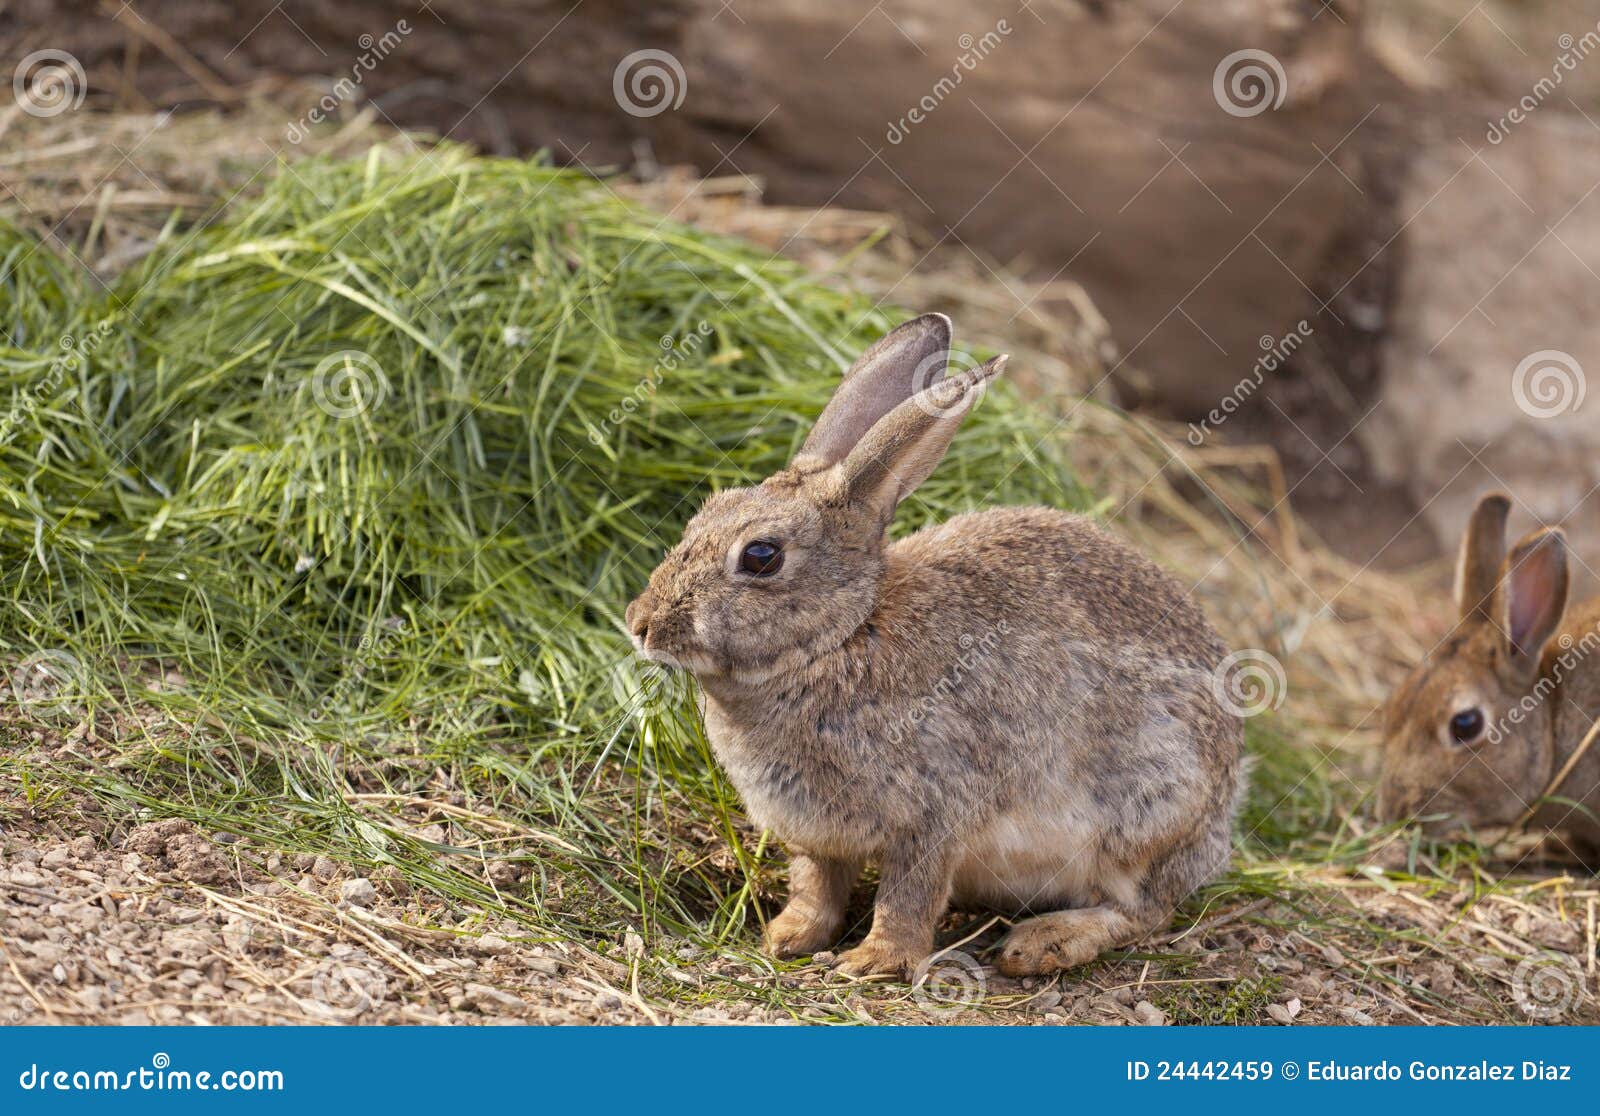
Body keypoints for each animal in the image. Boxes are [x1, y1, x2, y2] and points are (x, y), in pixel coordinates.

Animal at [625, 314, 1244, 979]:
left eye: (761, 556)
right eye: (703, 515)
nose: (640, 623)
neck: (843, 637)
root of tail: (1226, 798)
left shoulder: (934, 813)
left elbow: (908, 896)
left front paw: (873, 961)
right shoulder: (819, 837)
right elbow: (817, 886)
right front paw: (787, 937)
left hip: (1147, 815)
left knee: (1142, 911)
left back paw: (1040, 944)